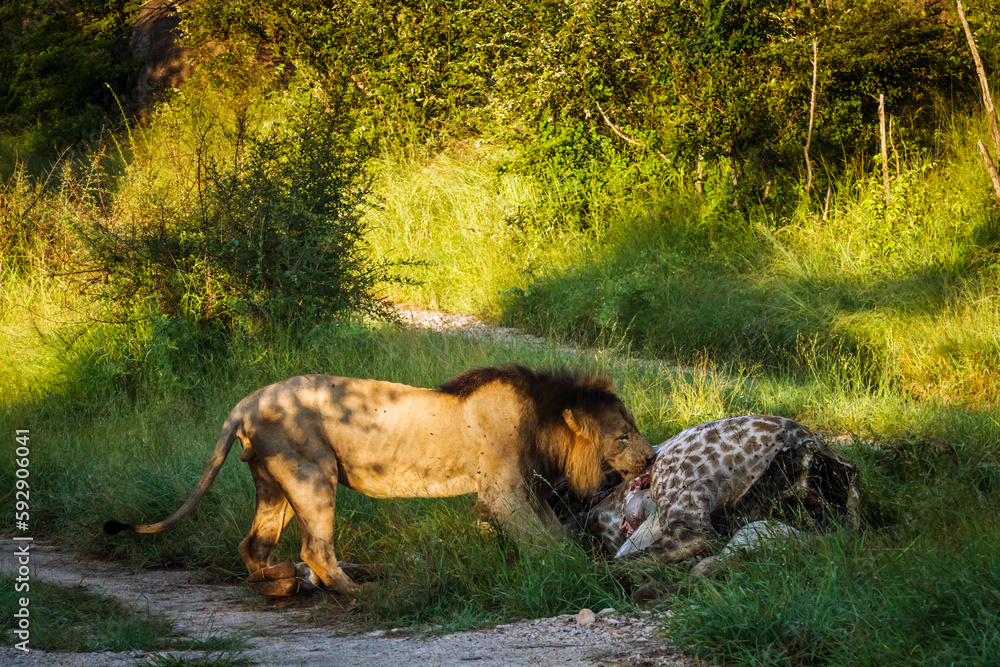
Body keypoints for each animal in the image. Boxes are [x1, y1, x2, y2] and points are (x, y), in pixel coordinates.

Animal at [104, 365, 654, 596]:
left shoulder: (510, 490)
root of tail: (245, 402)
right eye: (624, 435)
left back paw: (288, 584)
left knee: (252, 548)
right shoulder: (505, 490)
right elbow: (547, 539)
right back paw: (355, 590)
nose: (651, 458)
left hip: (273, 484)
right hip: (312, 473)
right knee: (315, 550)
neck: (545, 419)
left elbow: (545, 531)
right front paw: (582, 571)